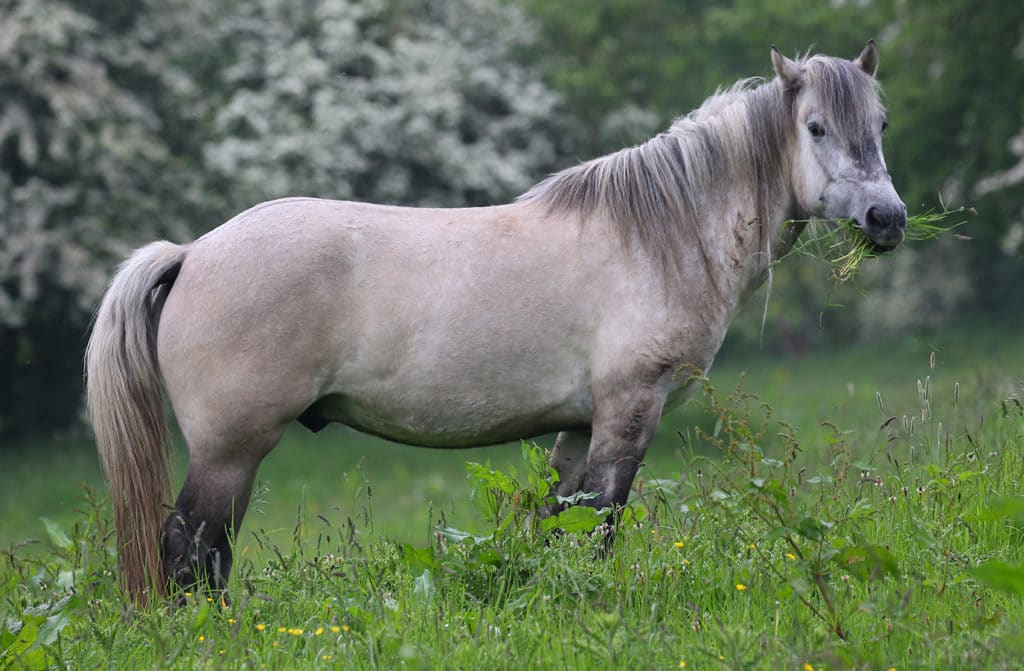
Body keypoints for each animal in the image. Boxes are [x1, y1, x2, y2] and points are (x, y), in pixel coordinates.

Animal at [86, 41, 906, 606]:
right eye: (816, 127)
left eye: (881, 122)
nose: (887, 219)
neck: (658, 235)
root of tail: (193, 252)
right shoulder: (628, 411)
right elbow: (601, 523)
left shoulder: (578, 424)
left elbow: (562, 522)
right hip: (231, 451)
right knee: (191, 551)